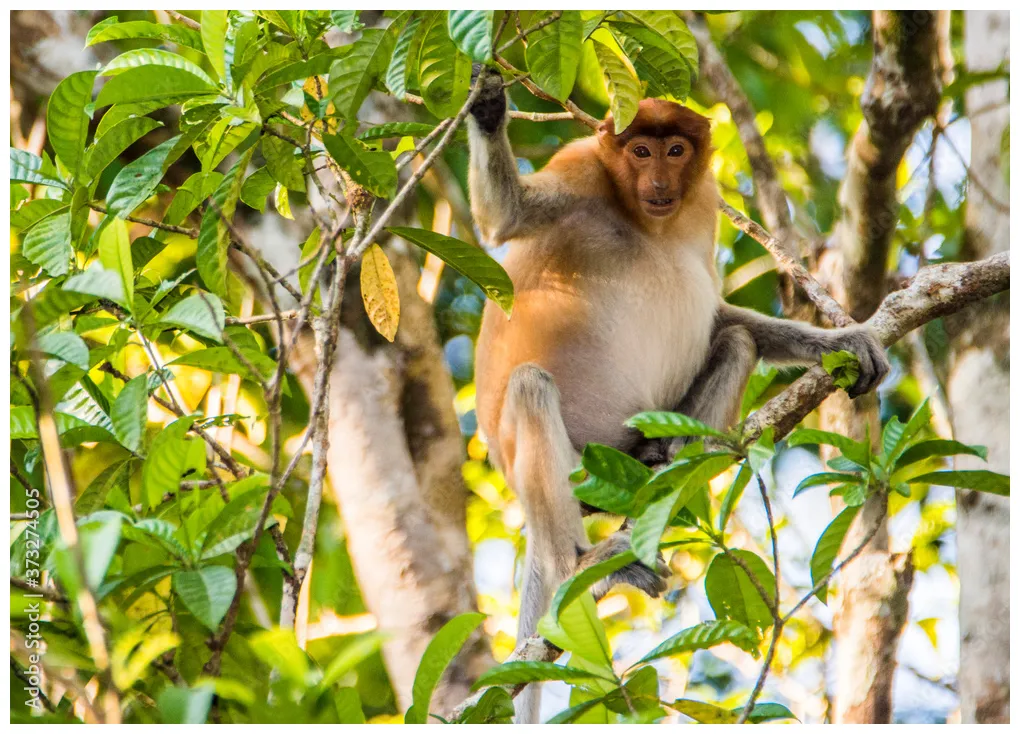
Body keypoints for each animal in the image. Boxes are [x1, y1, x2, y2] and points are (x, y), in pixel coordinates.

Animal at [465, 68, 889, 723]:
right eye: (640, 151)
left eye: (676, 151)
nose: (660, 184)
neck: (646, 221)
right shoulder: (580, 170)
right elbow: (507, 217)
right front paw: (487, 106)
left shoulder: (703, 204)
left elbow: (720, 318)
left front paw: (845, 341)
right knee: (530, 385)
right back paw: (584, 565)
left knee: (738, 342)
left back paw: (663, 467)